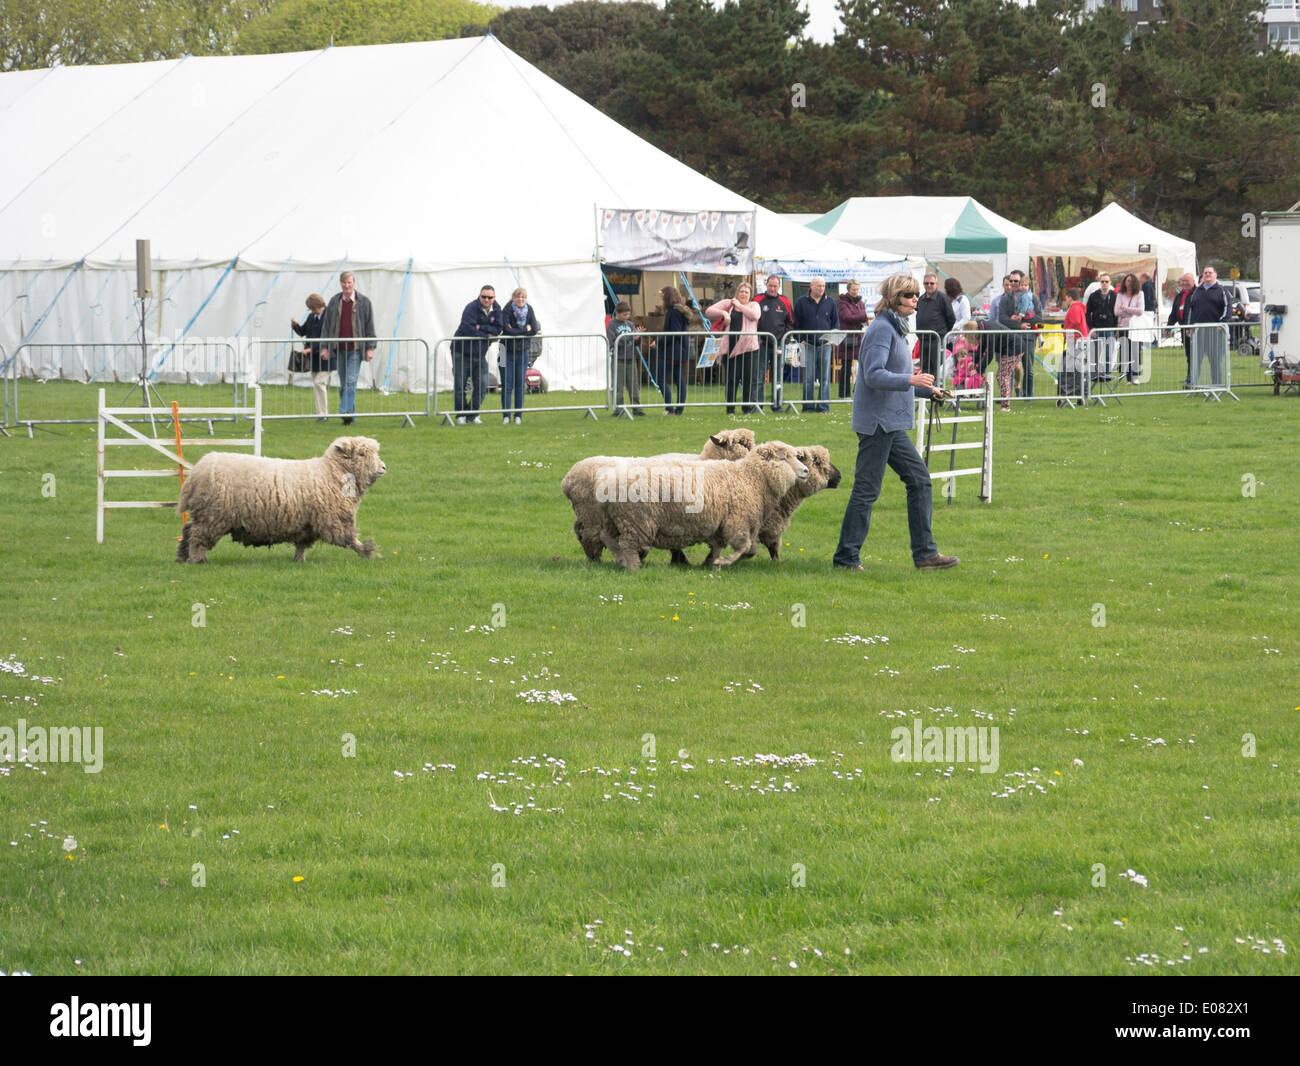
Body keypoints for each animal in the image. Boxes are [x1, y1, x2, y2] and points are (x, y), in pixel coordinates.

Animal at [175, 436, 386, 564]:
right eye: (361, 453)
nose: (383, 467)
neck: (331, 473)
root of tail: (197, 471)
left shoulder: (308, 522)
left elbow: (303, 543)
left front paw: (299, 560)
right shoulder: (332, 519)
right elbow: (350, 538)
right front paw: (368, 551)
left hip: (206, 514)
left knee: (188, 530)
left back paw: (182, 556)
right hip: (214, 515)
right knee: (197, 537)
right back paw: (198, 559)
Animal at [561, 428, 755, 562]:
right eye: (742, 444)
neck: (705, 461)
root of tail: (567, 479)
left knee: (580, 530)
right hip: (591, 515)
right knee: (588, 535)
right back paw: (596, 558)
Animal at [596, 441, 809, 570]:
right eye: (783, 458)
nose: (806, 471)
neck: (751, 477)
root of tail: (610, 481)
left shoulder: (720, 524)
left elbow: (720, 547)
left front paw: (712, 563)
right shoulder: (737, 521)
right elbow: (745, 547)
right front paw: (724, 562)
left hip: (617, 519)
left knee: (608, 538)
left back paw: (622, 561)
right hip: (637, 520)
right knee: (627, 544)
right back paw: (633, 566)